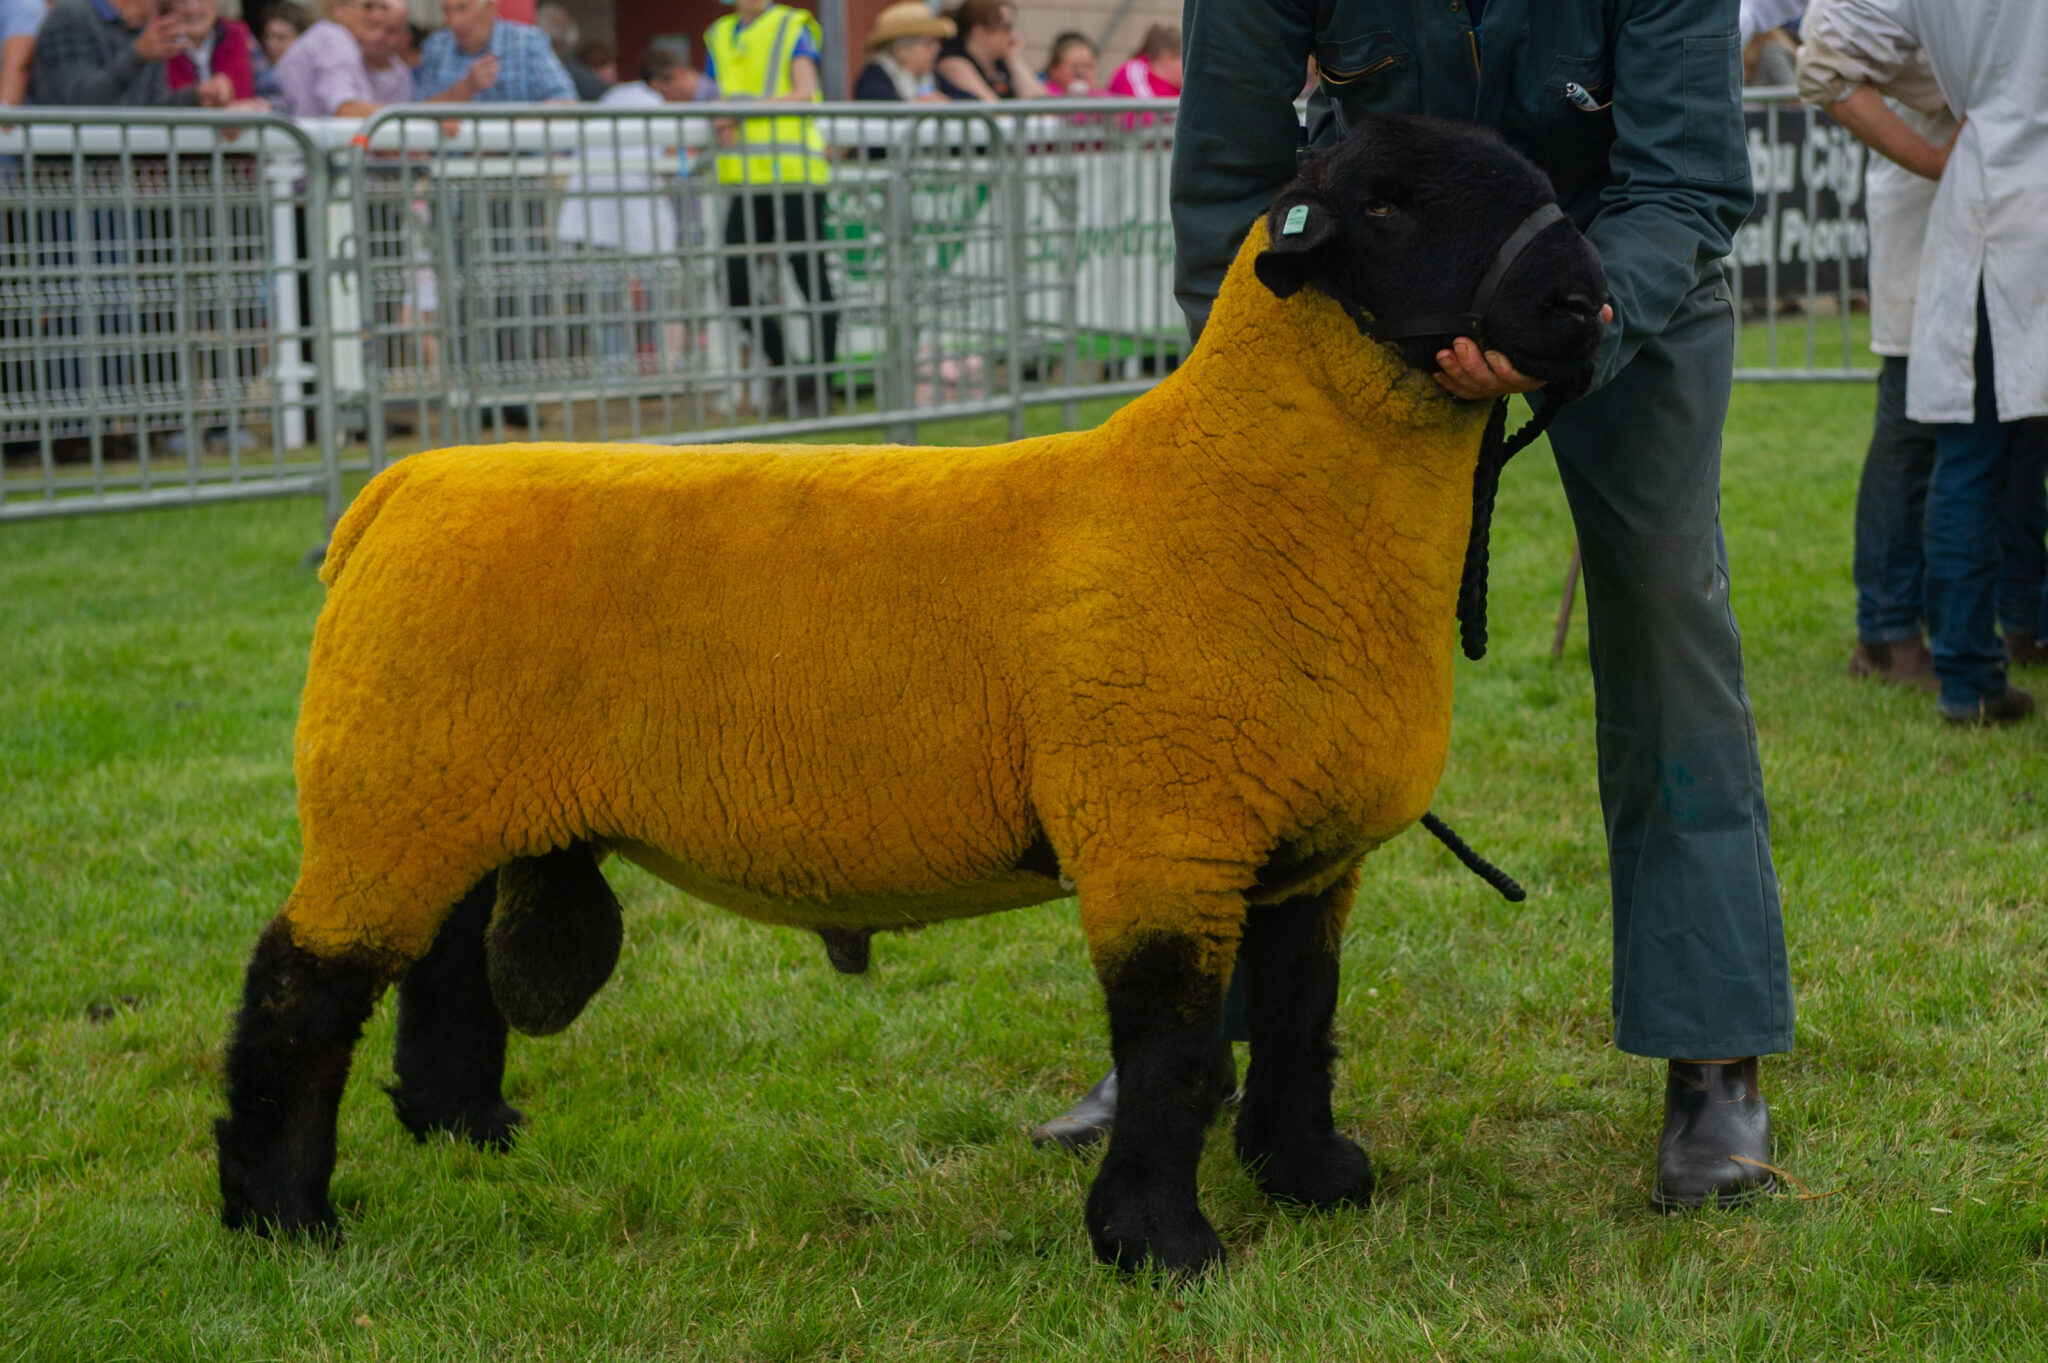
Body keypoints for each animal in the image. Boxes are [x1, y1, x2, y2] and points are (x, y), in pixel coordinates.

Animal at [214, 113, 1609, 1278]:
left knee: (440, 962)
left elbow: (1299, 1016)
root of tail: (407, 483)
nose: (1583, 298)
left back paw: (462, 1128)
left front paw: (1310, 1175)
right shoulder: (1160, 832)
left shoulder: (1303, 853)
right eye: (1384, 206)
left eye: (1542, 182)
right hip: (384, 791)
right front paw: (1158, 1247)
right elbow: (1174, 1055)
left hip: (449, 786)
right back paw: (281, 1218)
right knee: (298, 990)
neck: (1236, 489)